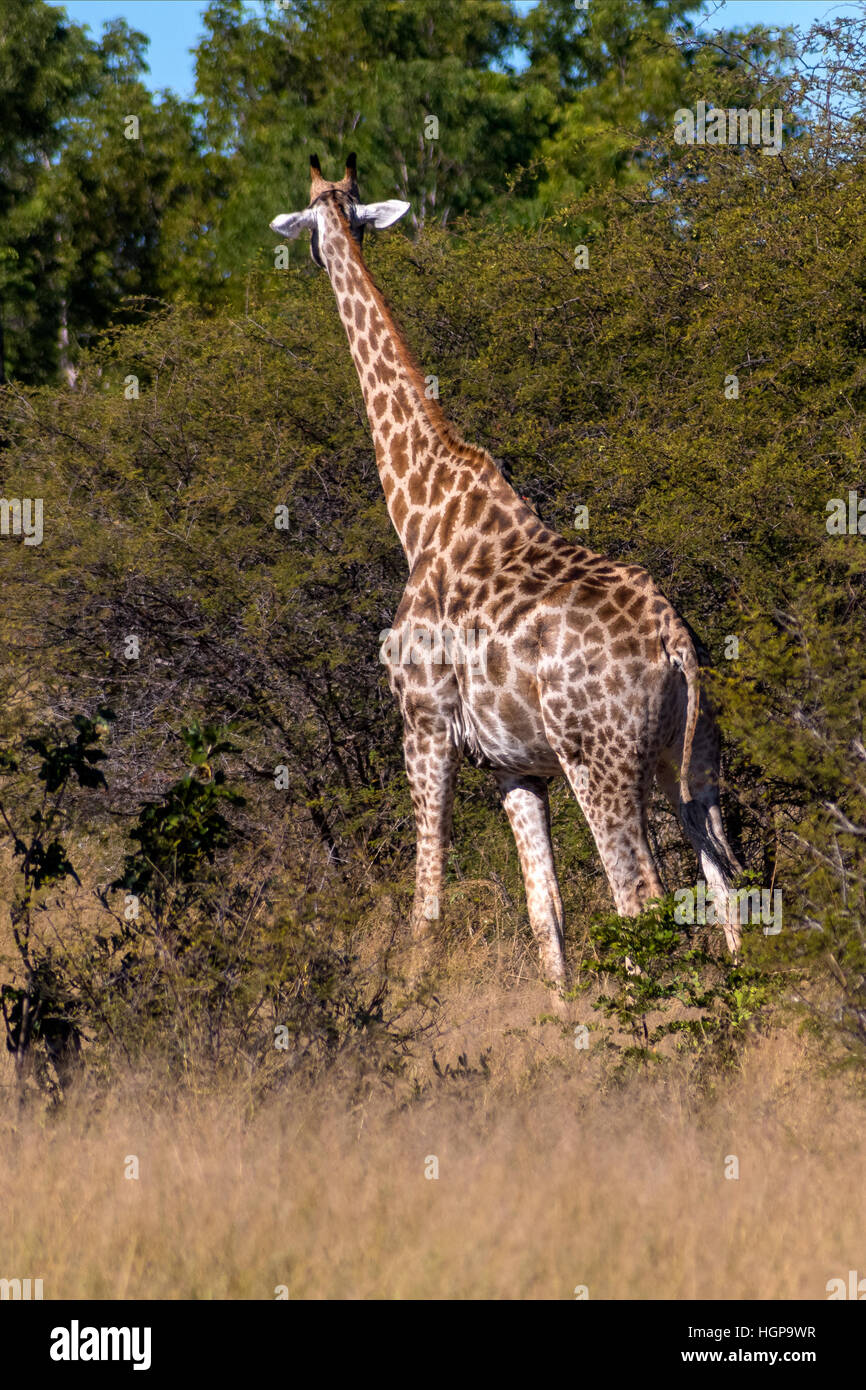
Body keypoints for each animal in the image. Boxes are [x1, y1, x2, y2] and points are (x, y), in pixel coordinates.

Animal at [270, 154, 743, 988]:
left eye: (316, 229)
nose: (320, 259)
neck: (419, 507)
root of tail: (674, 640)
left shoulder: (423, 722)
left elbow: (427, 901)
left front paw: (410, 1002)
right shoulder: (512, 764)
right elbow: (542, 910)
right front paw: (561, 1012)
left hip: (600, 760)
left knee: (642, 897)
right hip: (691, 759)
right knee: (728, 892)